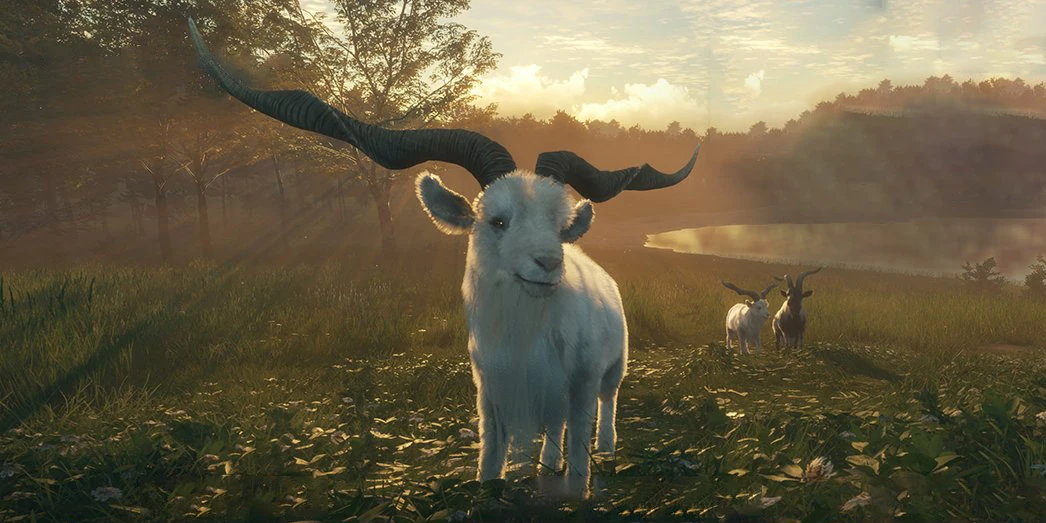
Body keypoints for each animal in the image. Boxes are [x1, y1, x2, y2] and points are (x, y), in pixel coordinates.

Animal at [188, 19, 700, 497]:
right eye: (496, 220)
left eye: (558, 223)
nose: (548, 265)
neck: (525, 334)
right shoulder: (492, 392)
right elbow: (492, 456)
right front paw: (504, 483)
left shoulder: (578, 385)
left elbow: (578, 458)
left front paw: (576, 488)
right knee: (552, 433)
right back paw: (546, 465)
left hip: (611, 372)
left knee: (605, 410)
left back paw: (606, 453)